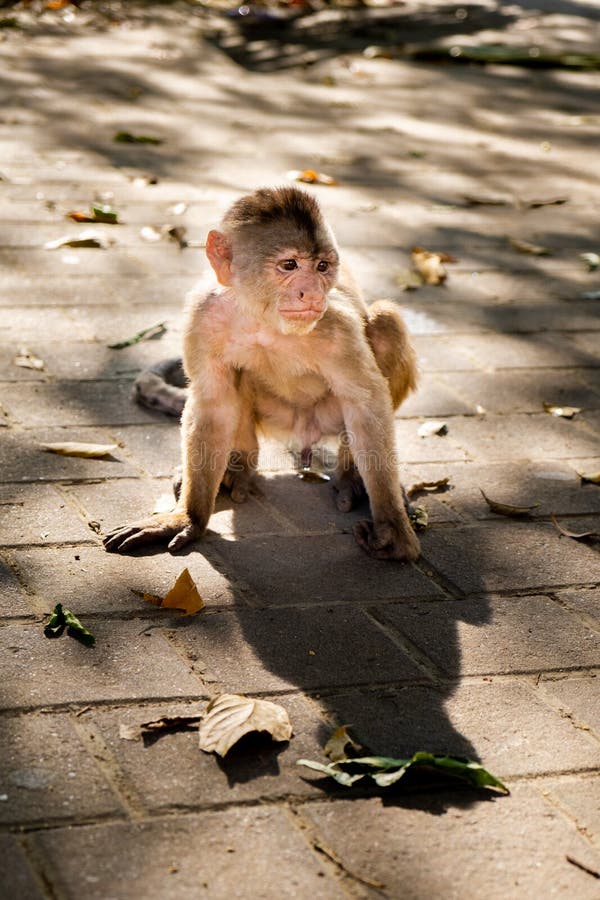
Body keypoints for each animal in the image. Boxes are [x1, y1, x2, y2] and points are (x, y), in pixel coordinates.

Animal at [104, 186, 420, 561]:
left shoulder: (337, 326)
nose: (312, 292)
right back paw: (238, 466)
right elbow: (213, 402)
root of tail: (303, 436)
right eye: (289, 265)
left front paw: (391, 529)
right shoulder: (203, 315)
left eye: (322, 267)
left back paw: (351, 474)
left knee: (385, 323)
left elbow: (365, 403)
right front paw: (189, 517)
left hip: (324, 417)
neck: (262, 318)